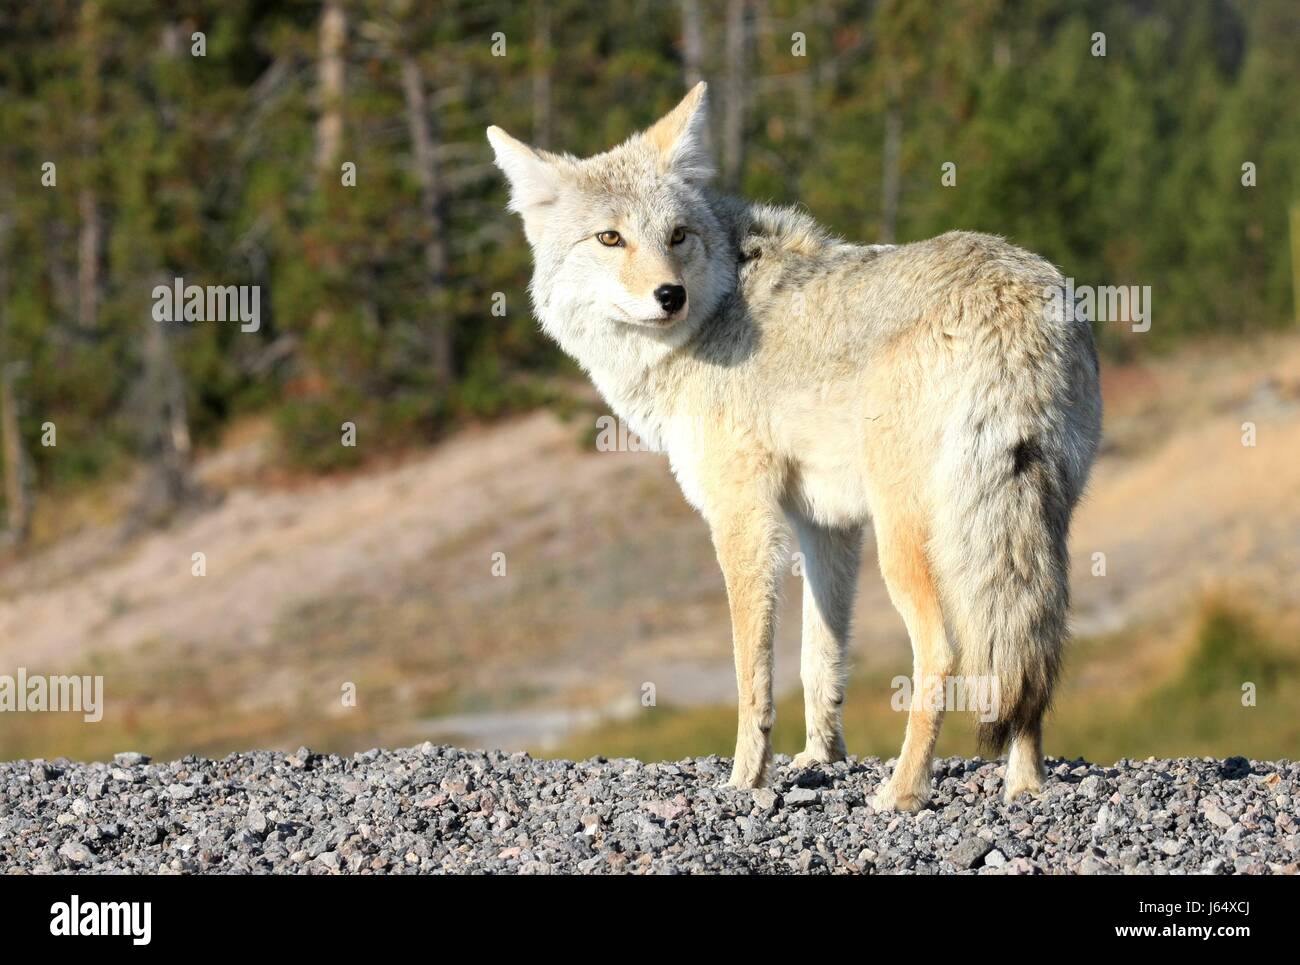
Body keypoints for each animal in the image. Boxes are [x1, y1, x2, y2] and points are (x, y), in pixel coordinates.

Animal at [487, 83, 1101, 809]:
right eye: (611, 237)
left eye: (677, 235)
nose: (670, 295)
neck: (712, 318)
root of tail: (1022, 307)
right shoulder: (825, 526)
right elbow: (820, 660)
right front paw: (820, 757)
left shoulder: (743, 519)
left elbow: (752, 673)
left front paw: (745, 780)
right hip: (1032, 536)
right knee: (1033, 657)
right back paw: (1025, 786)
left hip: (910, 544)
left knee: (945, 654)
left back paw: (901, 793)